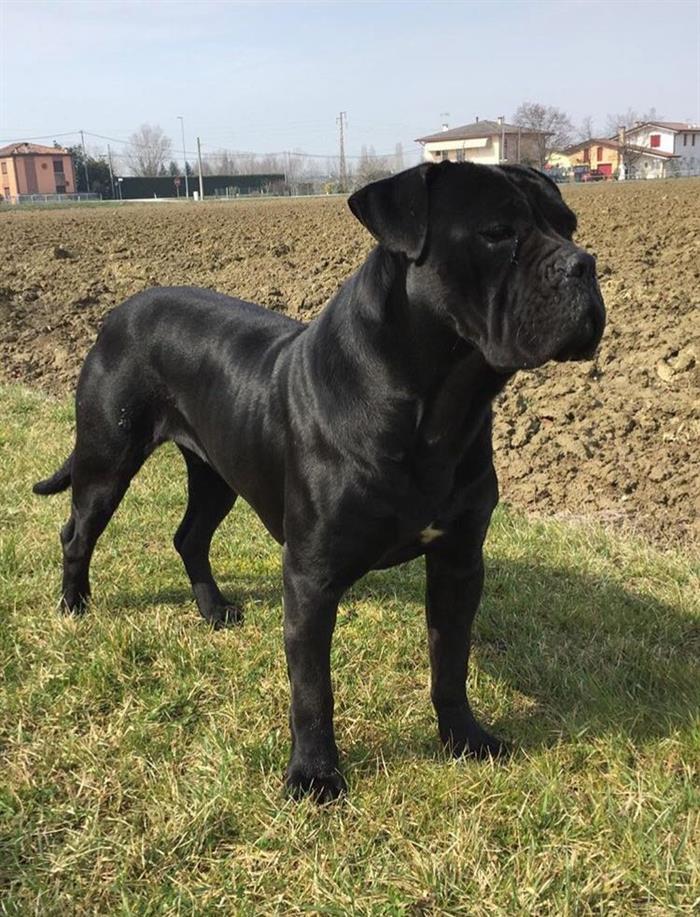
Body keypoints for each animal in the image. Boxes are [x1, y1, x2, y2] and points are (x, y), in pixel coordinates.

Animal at [32, 163, 604, 800]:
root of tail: (117, 311)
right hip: (107, 458)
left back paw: (213, 610)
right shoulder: (310, 577)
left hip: (216, 469)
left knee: (189, 535)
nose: (584, 264)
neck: (438, 408)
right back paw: (74, 606)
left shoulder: (459, 560)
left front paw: (465, 739)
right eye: (497, 232)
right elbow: (312, 688)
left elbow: (450, 661)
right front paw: (313, 775)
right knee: (78, 532)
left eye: (569, 225)